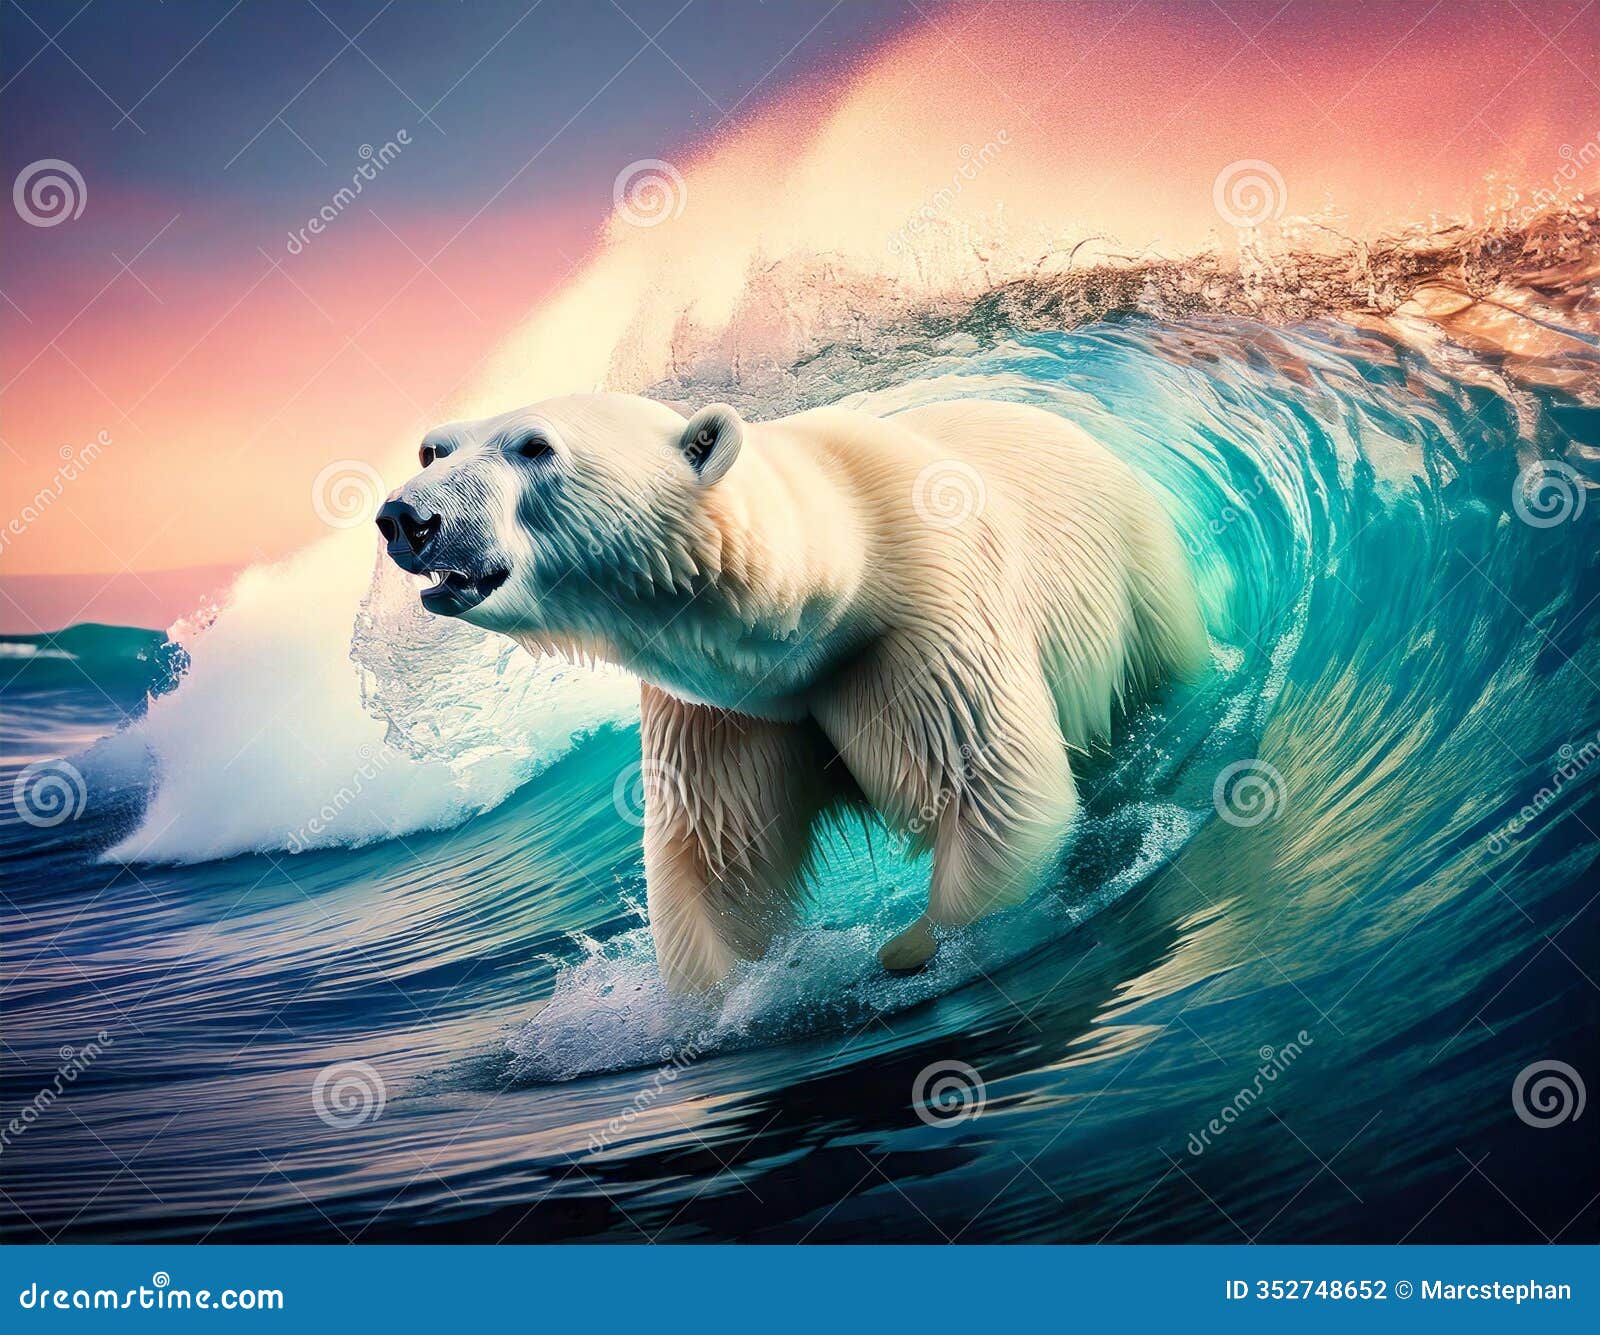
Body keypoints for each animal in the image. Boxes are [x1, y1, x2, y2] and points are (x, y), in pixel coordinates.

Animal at [377, 392, 1208, 992]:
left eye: (534, 446)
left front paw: (911, 947)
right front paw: (728, 1001)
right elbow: (717, 861)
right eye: (434, 447)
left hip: (1138, 576)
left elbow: (997, 784)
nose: (406, 517)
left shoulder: (925, 622)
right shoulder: (725, 703)